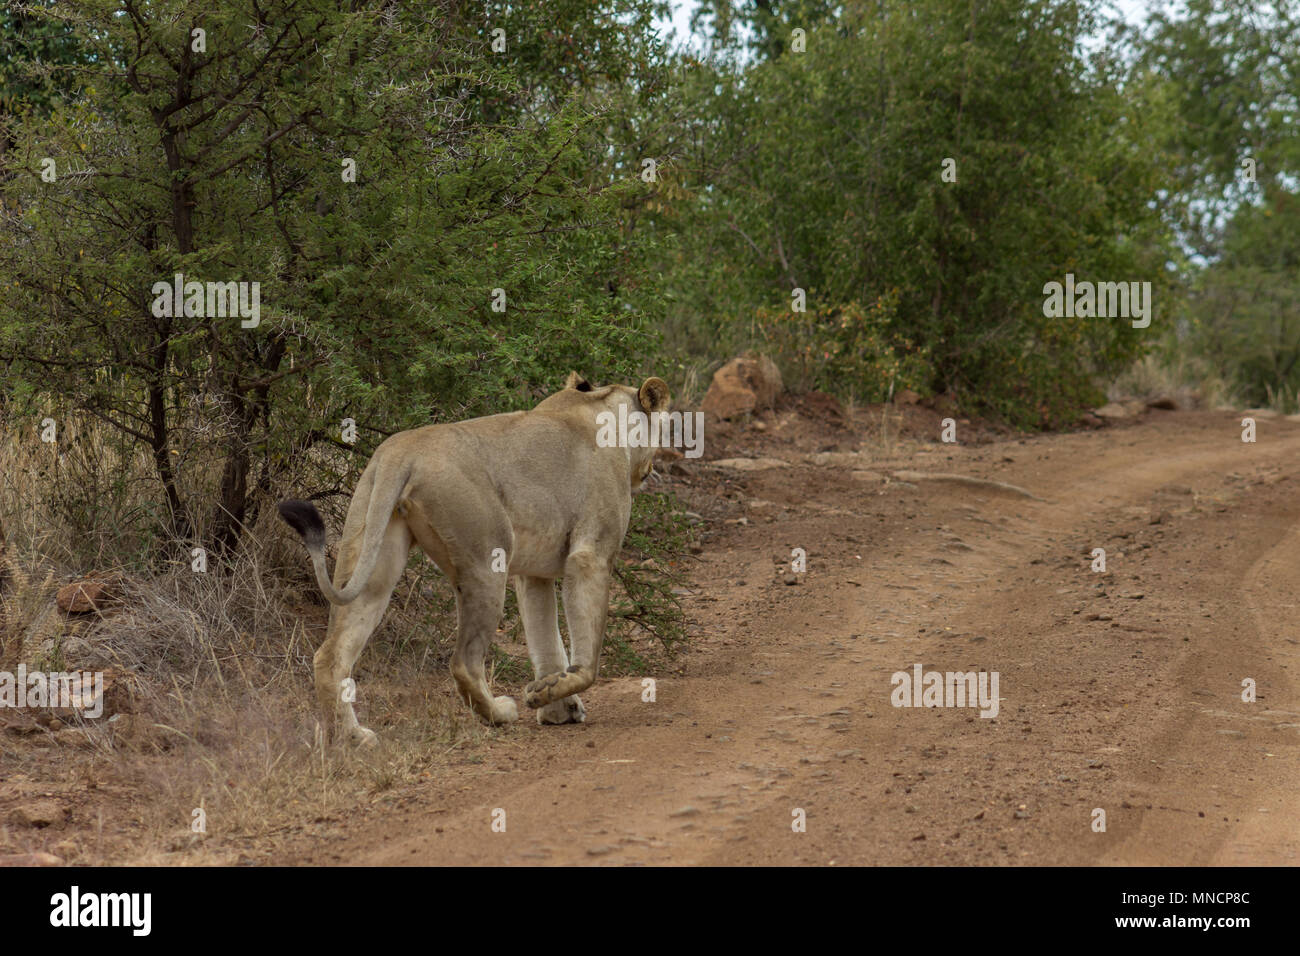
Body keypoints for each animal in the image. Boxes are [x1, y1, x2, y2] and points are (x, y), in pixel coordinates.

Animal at [277, 372, 671, 745]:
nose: (653, 471)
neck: (601, 407)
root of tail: (403, 450)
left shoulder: (533, 573)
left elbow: (546, 639)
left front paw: (554, 703)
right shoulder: (591, 554)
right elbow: (586, 660)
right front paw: (553, 697)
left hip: (372, 558)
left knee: (331, 656)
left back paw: (354, 738)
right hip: (487, 560)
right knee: (464, 663)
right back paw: (500, 712)